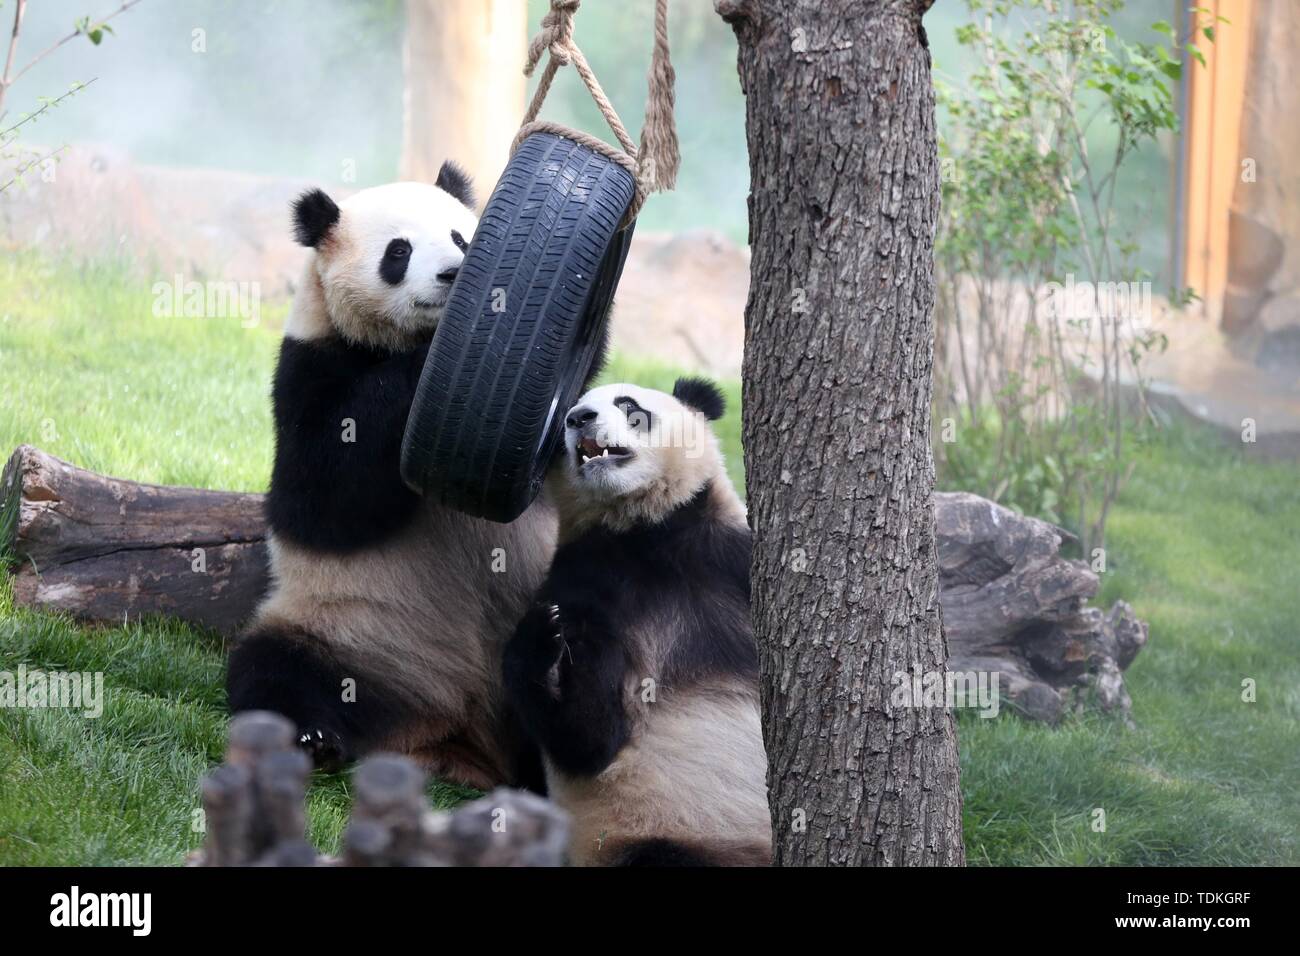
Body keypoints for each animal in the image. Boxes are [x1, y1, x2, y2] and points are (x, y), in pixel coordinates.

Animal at [226, 163, 559, 790]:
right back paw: (313, 740)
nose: (454, 275)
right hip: (350, 636)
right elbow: (319, 501)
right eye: (398, 252)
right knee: (272, 670)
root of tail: (458, 736)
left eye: (461, 238)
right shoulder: (308, 367)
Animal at [502, 378, 771, 866]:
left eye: (629, 407)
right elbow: (589, 741)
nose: (578, 419)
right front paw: (540, 642)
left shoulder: (728, 554)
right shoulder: (583, 583)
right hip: (652, 833)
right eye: (565, 417)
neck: (644, 532)